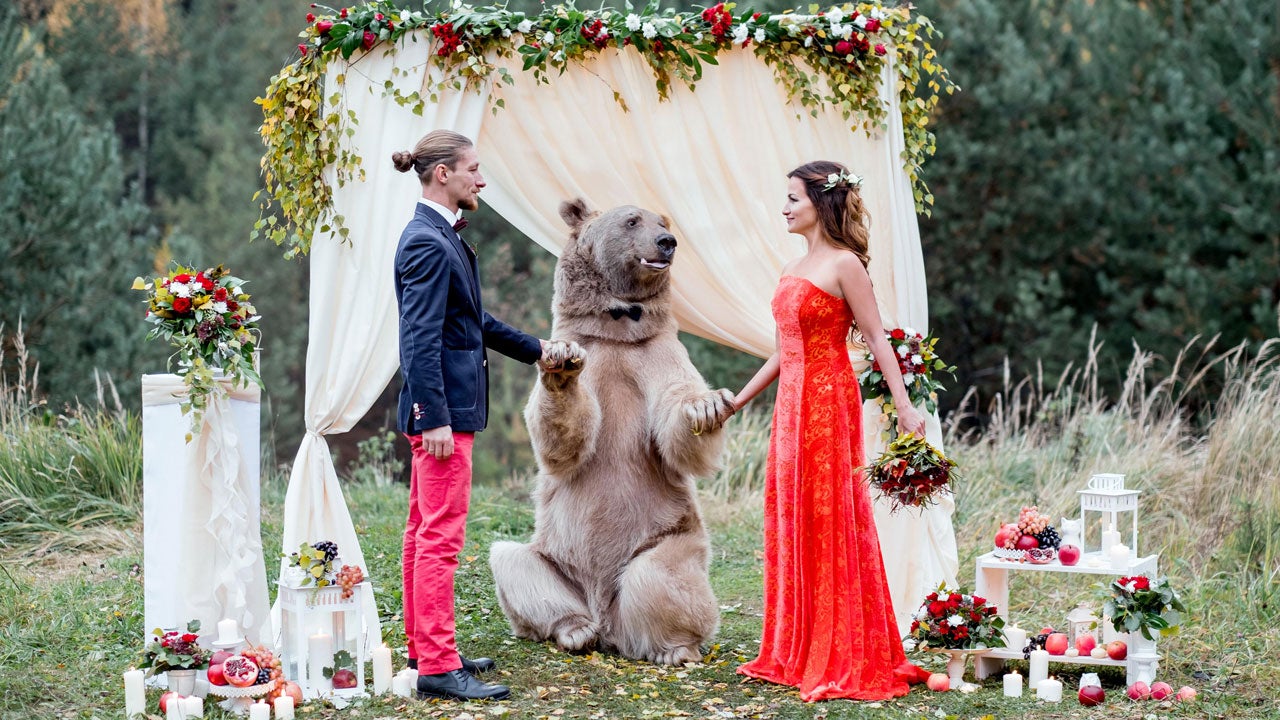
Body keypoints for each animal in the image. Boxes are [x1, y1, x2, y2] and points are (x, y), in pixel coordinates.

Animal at [488, 199, 738, 665]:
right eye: (632, 220)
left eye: (663, 221)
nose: (667, 241)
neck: (618, 326)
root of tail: (610, 625)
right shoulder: (588, 348)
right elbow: (561, 442)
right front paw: (561, 371)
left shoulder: (659, 353)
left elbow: (676, 425)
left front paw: (706, 406)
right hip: (554, 556)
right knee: (514, 563)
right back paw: (574, 631)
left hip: (668, 534)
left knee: (661, 575)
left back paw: (674, 648)